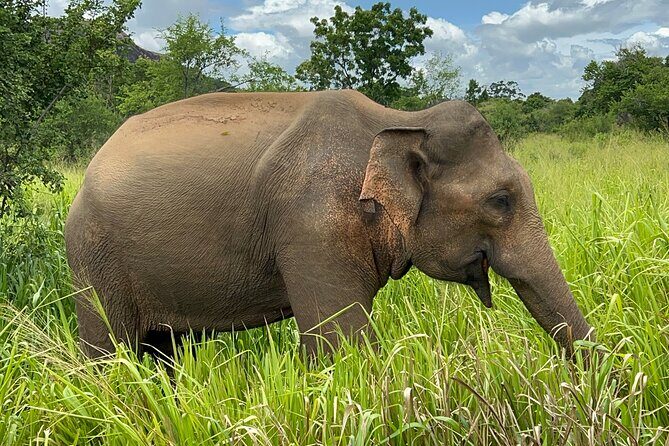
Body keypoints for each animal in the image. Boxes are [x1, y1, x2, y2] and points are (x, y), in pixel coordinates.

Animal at [64, 89, 593, 359]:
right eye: (500, 201)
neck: (401, 119)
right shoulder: (311, 220)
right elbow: (343, 341)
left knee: (165, 353)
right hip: (94, 261)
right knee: (110, 352)